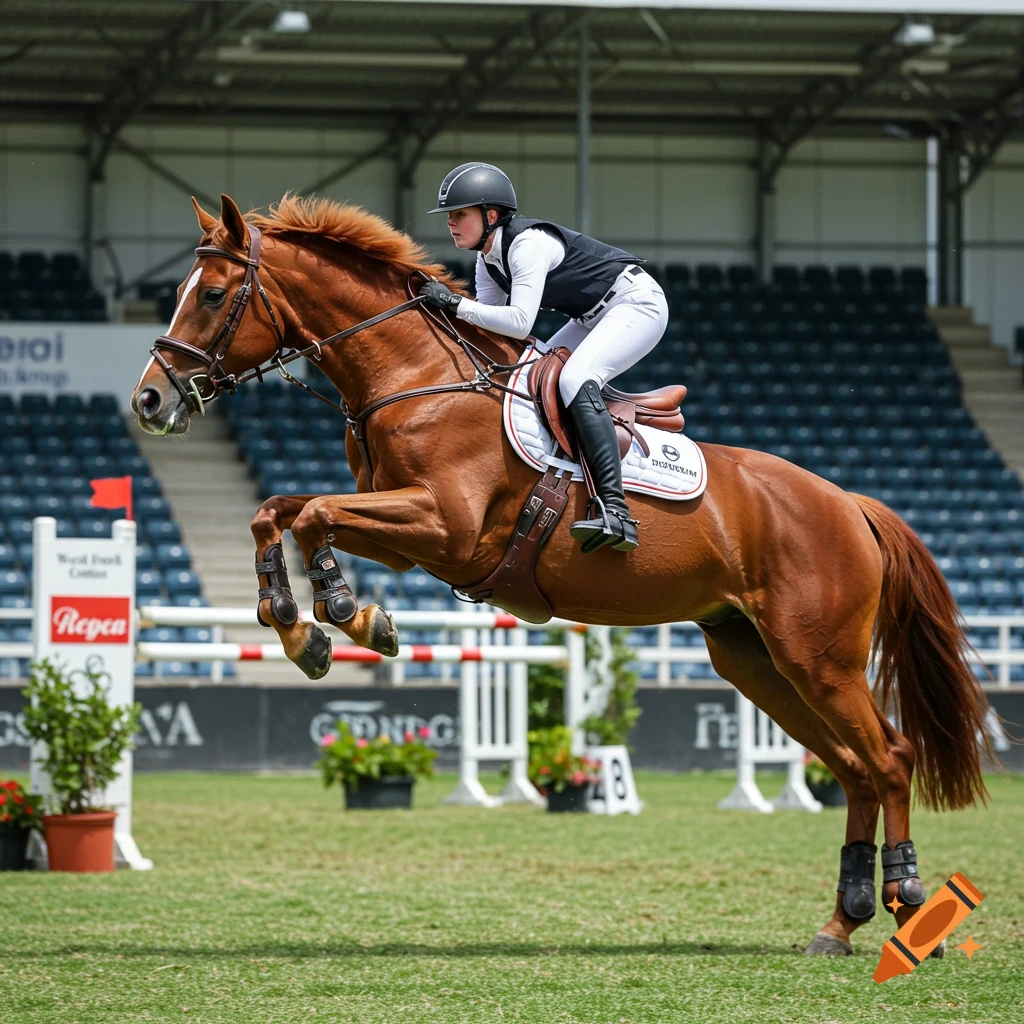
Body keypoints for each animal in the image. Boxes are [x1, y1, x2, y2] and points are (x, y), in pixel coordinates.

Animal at [131, 192, 997, 957]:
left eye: (212, 294)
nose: (150, 400)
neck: (415, 377)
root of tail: (849, 504)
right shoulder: (408, 536)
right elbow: (278, 510)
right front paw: (295, 624)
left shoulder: (440, 526)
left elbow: (312, 516)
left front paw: (346, 614)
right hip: (757, 660)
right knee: (854, 769)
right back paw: (842, 922)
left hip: (819, 658)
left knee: (888, 759)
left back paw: (904, 902)